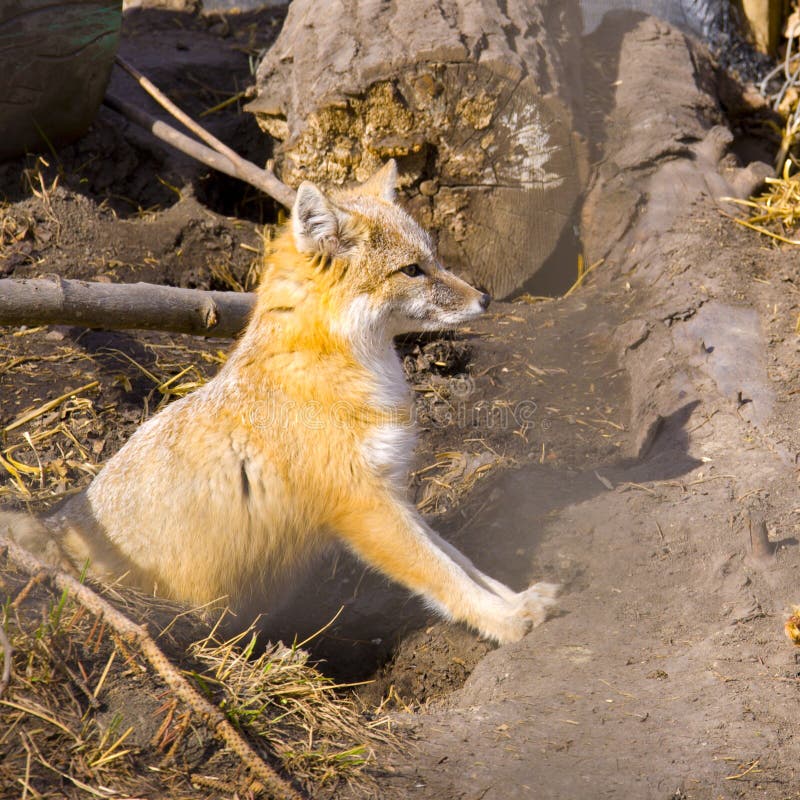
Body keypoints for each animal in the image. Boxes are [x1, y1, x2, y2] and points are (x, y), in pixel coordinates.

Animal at [0, 160, 557, 644]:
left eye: (434, 260)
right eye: (412, 270)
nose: (485, 298)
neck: (336, 367)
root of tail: (56, 523)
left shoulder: (391, 494)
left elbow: (462, 562)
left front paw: (515, 599)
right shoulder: (364, 505)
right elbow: (442, 574)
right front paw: (504, 621)